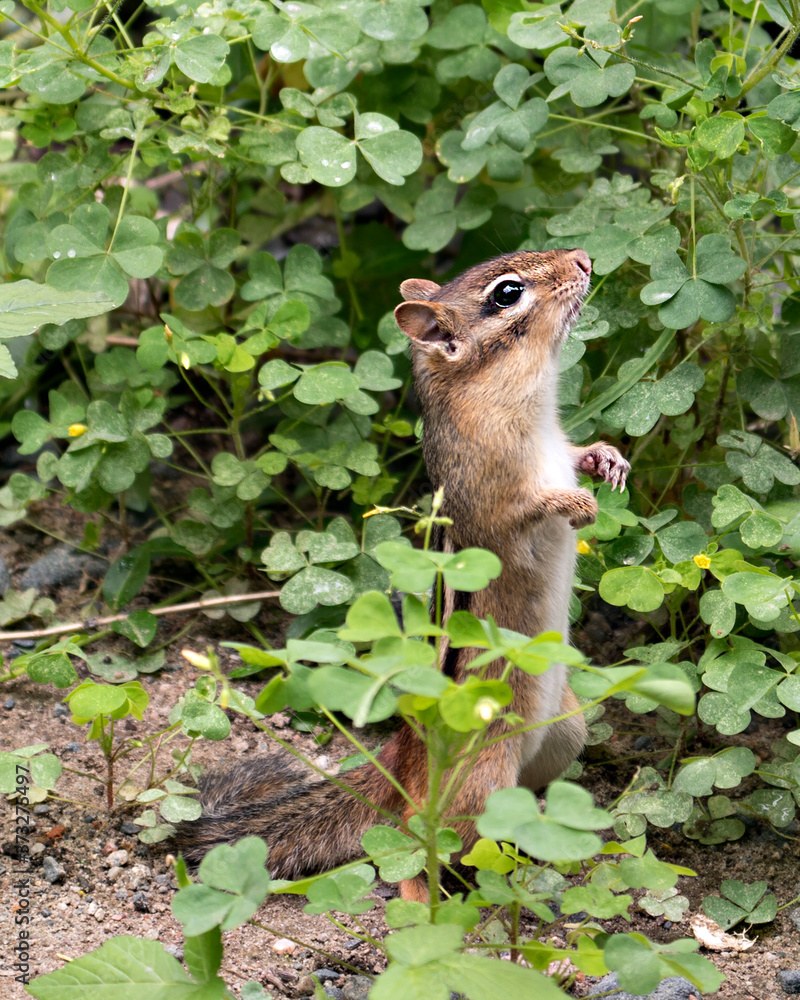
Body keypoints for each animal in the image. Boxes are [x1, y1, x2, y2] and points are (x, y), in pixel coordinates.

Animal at [174, 248, 630, 901]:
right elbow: (519, 514)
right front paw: (576, 505)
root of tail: (401, 758)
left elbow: (577, 458)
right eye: (507, 292)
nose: (584, 258)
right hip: (478, 783)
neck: (525, 401)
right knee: (420, 840)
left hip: (566, 733)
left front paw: (606, 459)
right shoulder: (487, 498)